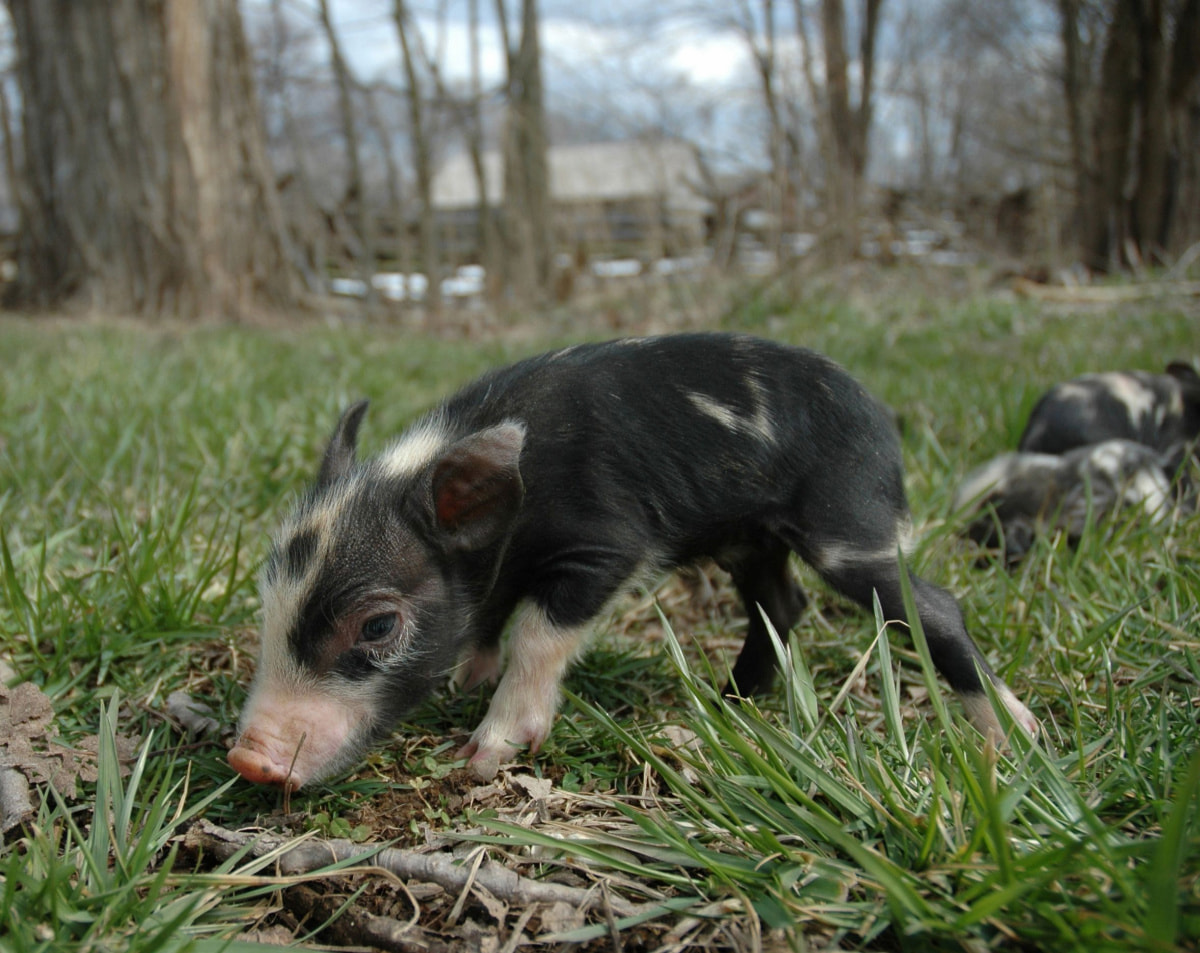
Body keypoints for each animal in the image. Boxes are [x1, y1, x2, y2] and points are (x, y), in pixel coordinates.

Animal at [228, 333, 1037, 790]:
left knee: (932, 606)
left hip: (849, 524)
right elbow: (487, 619)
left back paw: (1015, 739)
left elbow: (537, 635)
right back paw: (722, 705)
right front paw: (465, 680)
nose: (248, 760)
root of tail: (883, 417)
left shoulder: (606, 543)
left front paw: (481, 756)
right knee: (783, 602)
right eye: (268, 603)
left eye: (376, 626)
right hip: (750, 537)